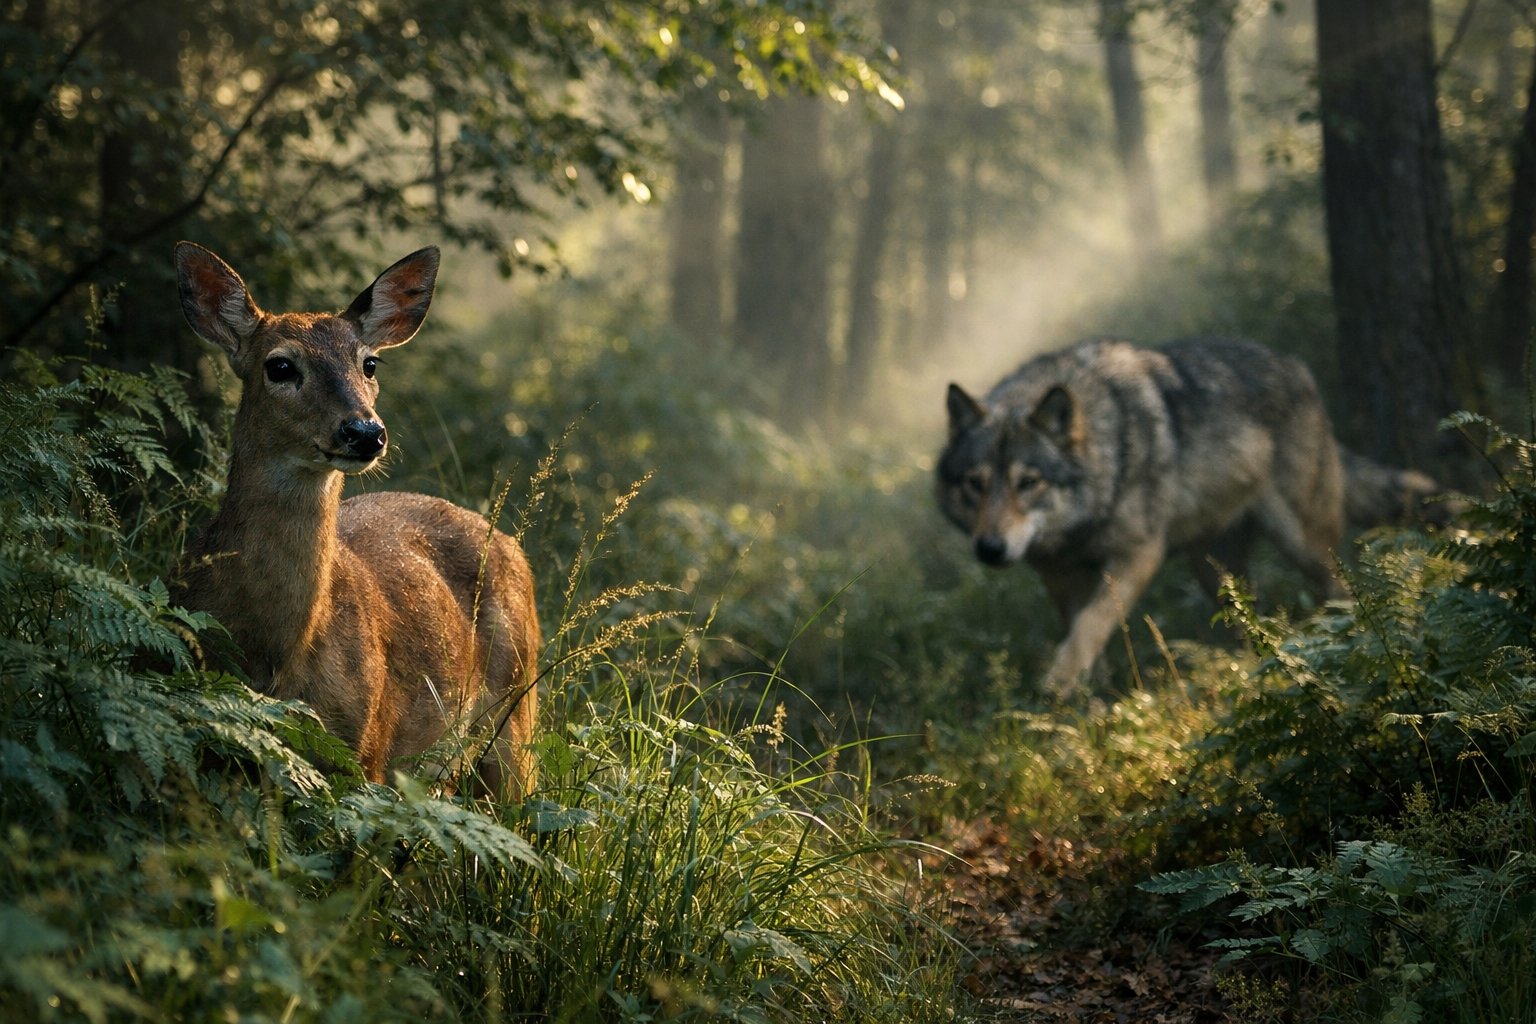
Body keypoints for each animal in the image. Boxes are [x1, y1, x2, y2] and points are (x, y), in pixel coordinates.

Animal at [171, 241, 539, 797]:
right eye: (280, 366)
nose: (364, 431)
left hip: (516, 710)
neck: (270, 657)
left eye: (370, 363)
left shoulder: (367, 752)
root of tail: (512, 545)